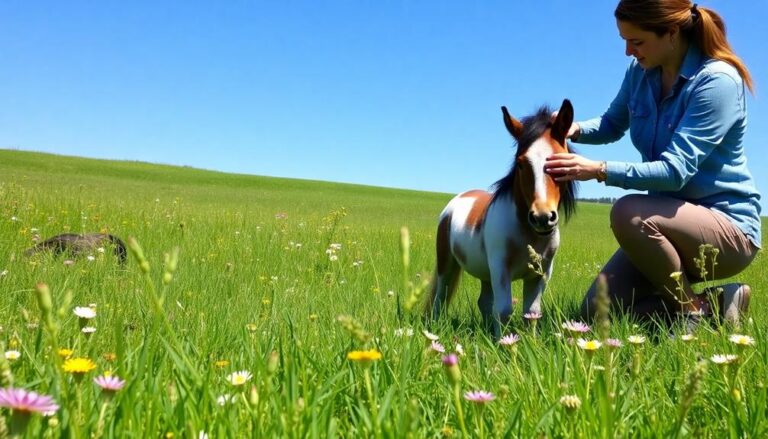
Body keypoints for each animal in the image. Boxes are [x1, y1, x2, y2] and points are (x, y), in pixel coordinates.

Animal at [426, 99, 577, 337]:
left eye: (561, 162)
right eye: (521, 163)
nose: (543, 217)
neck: (526, 232)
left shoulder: (540, 273)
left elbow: (531, 313)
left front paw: (527, 343)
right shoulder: (500, 268)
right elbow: (504, 310)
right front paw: (503, 342)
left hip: (485, 273)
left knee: (484, 302)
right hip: (447, 265)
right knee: (440, 297)